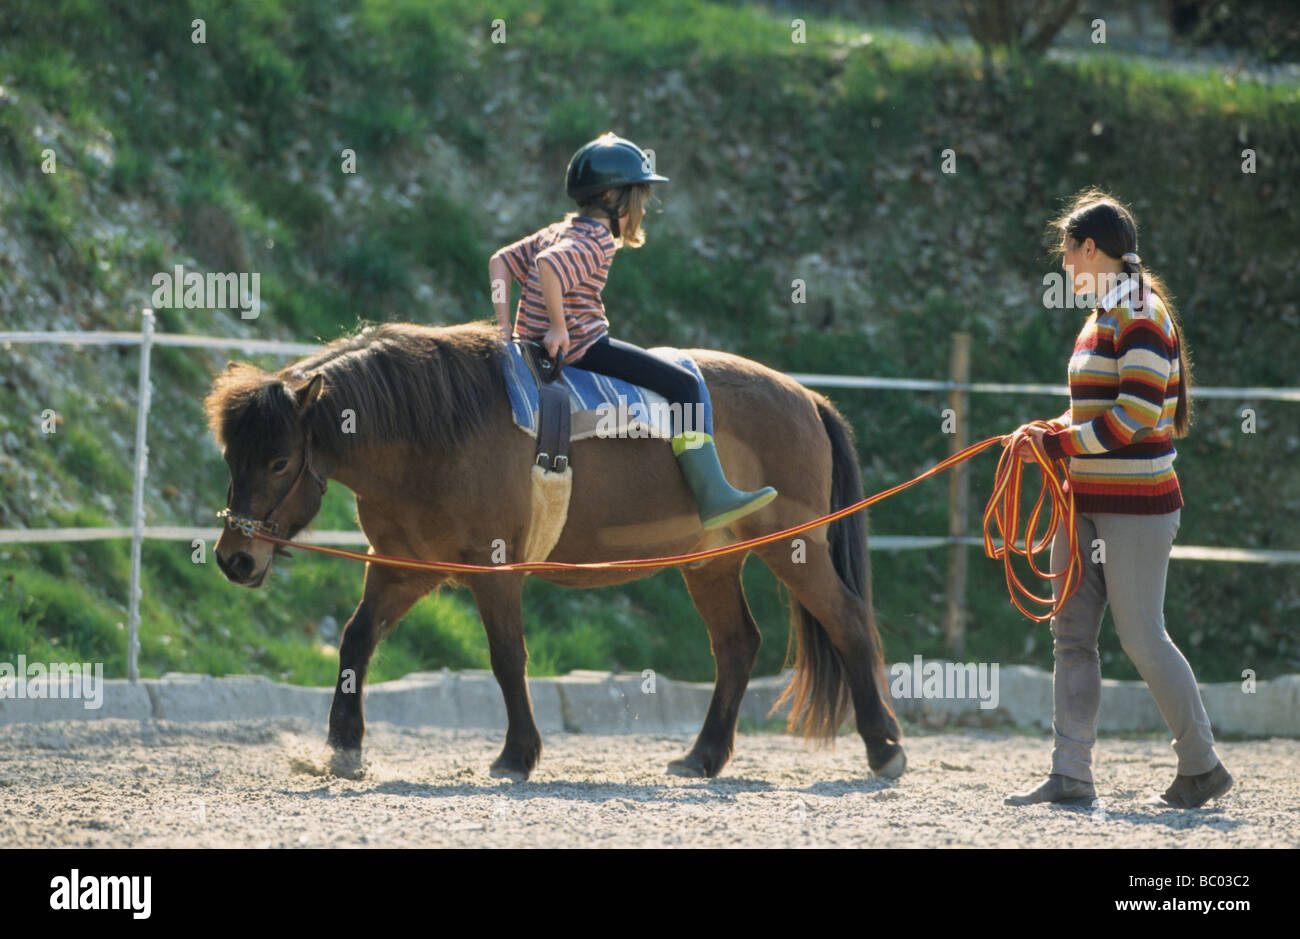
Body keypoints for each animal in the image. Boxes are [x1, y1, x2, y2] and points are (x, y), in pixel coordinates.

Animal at [204, 321, 905, 782]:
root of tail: (806, 398)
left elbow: (507, 658)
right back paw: (702, 756)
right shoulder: (403, 569)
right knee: (737, 646)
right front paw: (344, 747)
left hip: (796, 548)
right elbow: (356, 639)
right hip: (711, 561)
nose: (235, 559)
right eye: (230, 457)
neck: (436, 431)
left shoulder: (494, 571)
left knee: (847, 623)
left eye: (279, 460)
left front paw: (518, 755)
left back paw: (884, 749)